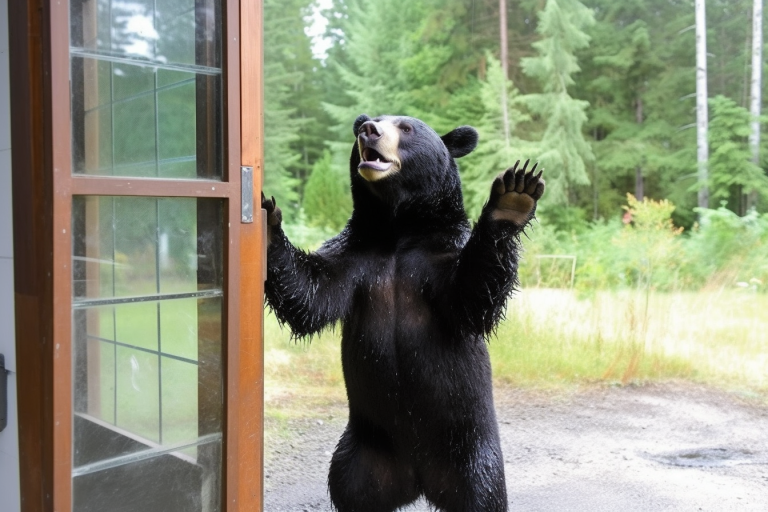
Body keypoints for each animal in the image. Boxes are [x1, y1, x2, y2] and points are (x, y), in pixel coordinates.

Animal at [262, 114, 545, 512]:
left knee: (483, 495)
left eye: (406, 128)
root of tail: (419, 481)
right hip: (362, 453)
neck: (398, 232)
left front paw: (513, 196)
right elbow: (310, 292)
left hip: (471, 451)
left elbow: (473, 296)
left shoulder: (440, 257)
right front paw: (267, 223)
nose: (369, 131)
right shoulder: (355, 259)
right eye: (366, 123)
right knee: (350, 488)